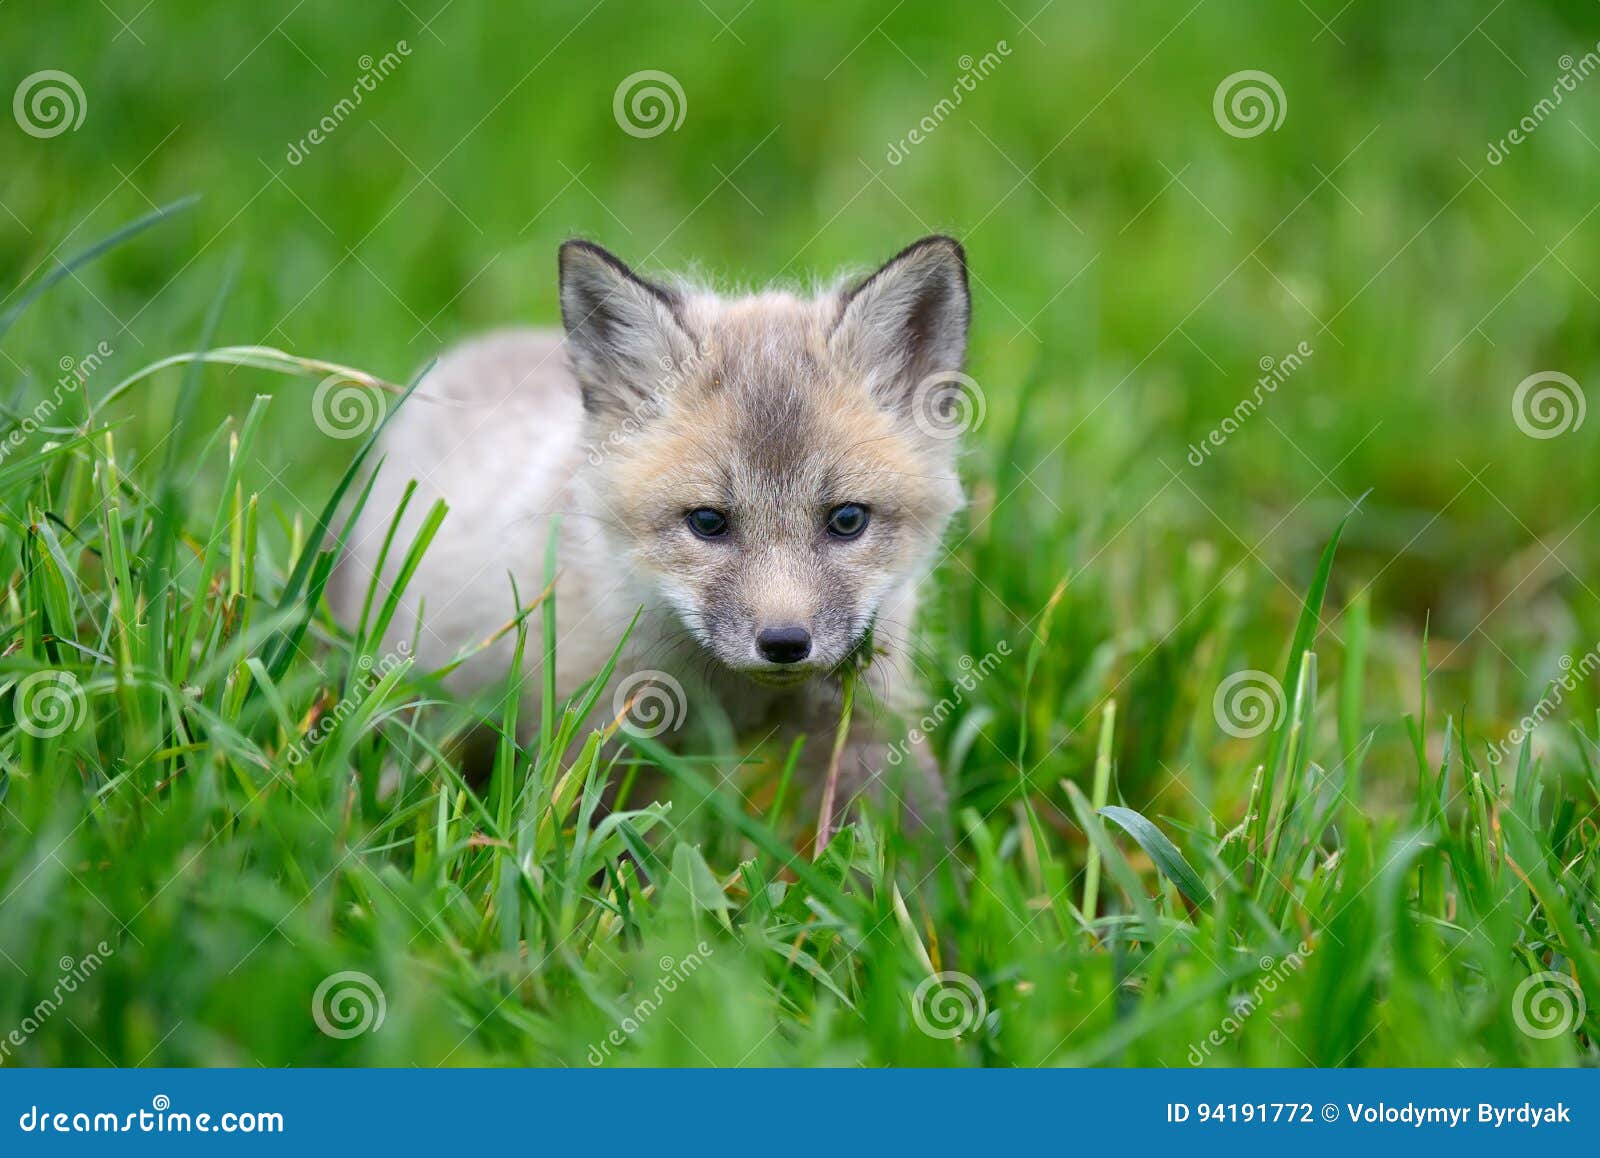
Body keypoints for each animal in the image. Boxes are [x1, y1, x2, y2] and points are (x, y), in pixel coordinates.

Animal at [334, 235, 973, 834]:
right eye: (707, 522)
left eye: (847, 520)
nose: (785, 643)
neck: (737, 695)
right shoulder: (597, 737)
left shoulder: (867, 717)